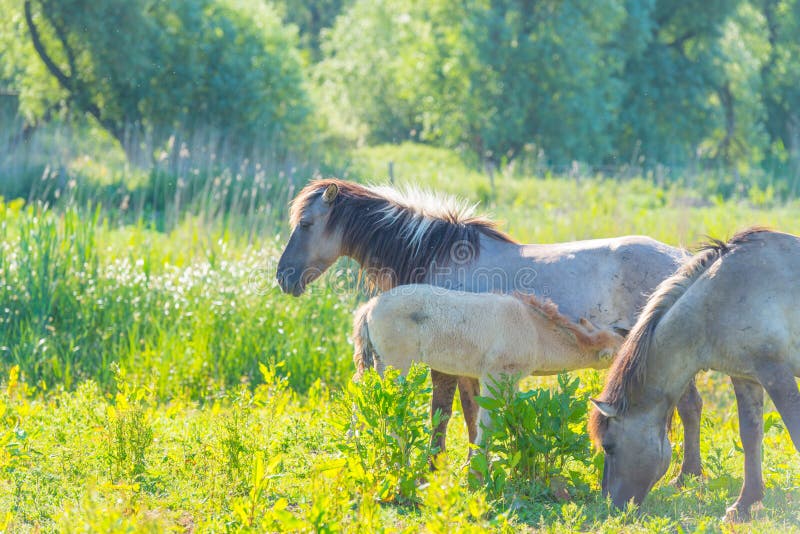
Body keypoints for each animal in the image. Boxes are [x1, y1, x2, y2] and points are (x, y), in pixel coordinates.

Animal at [353, 284, 624, 449]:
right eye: (620, 351)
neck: (534, 330)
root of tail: (369, 307)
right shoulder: (494, 377)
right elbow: (487, 424)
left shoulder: (511, 382)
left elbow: (514, 418)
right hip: (397, 369)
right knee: (391, 411)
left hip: (376, 367)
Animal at [588, 228, 800, 521]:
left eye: (609, 445)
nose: (612, 506)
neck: (719, 297)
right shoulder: (746, 377)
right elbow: (750, 436)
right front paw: (744, 505)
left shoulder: (775, 372)